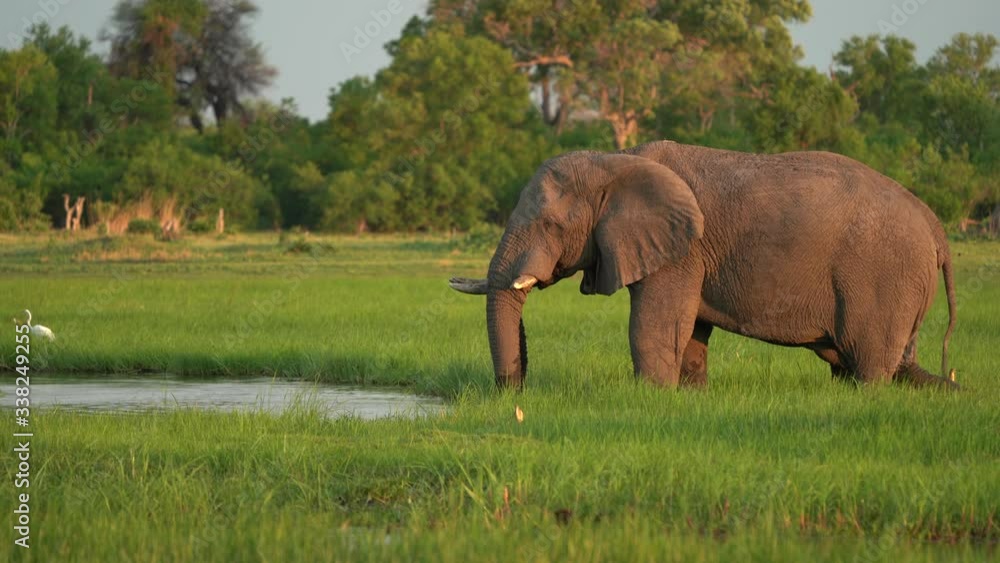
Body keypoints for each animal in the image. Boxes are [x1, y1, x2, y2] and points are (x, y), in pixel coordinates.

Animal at [449, 141, 958, 390]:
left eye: (551, 224)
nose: (513, 393)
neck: (616, 161)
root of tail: (936, 228)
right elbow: (690, 329)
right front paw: (692, 396)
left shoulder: (681, 250)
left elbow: (653, 326)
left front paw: (651, 397)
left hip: (885, 280)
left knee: (870, 364)